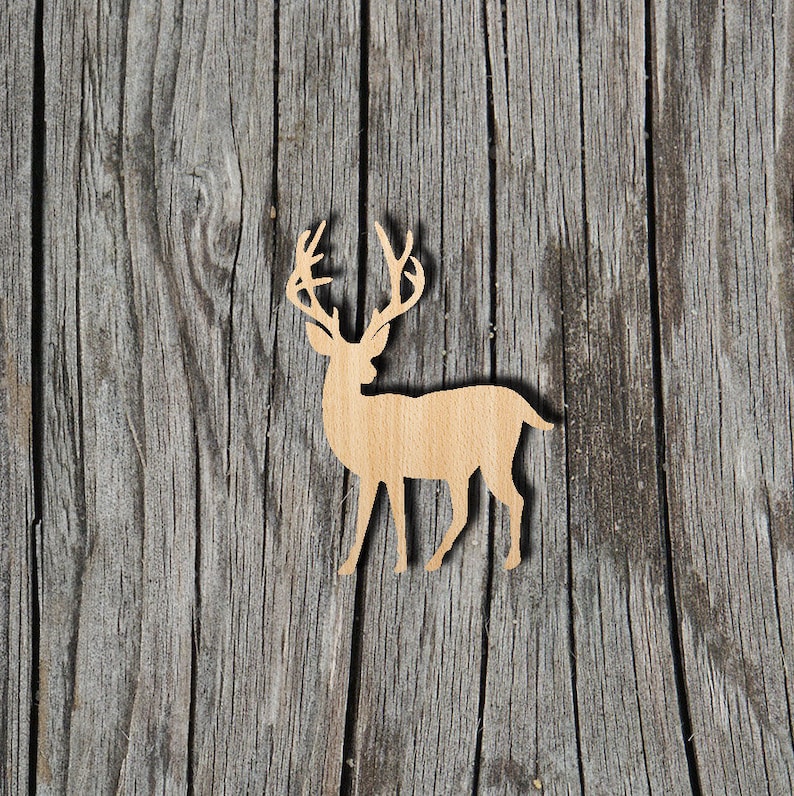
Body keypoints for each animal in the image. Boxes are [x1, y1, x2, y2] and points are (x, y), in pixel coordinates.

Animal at [286, 220, 553, 575]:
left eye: (367, 355)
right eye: (341, 359)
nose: (371, 373)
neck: (358, 421)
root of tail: (523, 405)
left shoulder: (381, 467)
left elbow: (373, 516)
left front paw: (361, 565)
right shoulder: (390, 472)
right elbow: (393, 512)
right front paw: (396, 561)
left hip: (494, 453)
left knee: (513, 497)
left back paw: (506, 561)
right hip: (464, 466)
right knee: (468, 510)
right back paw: (436, 559)